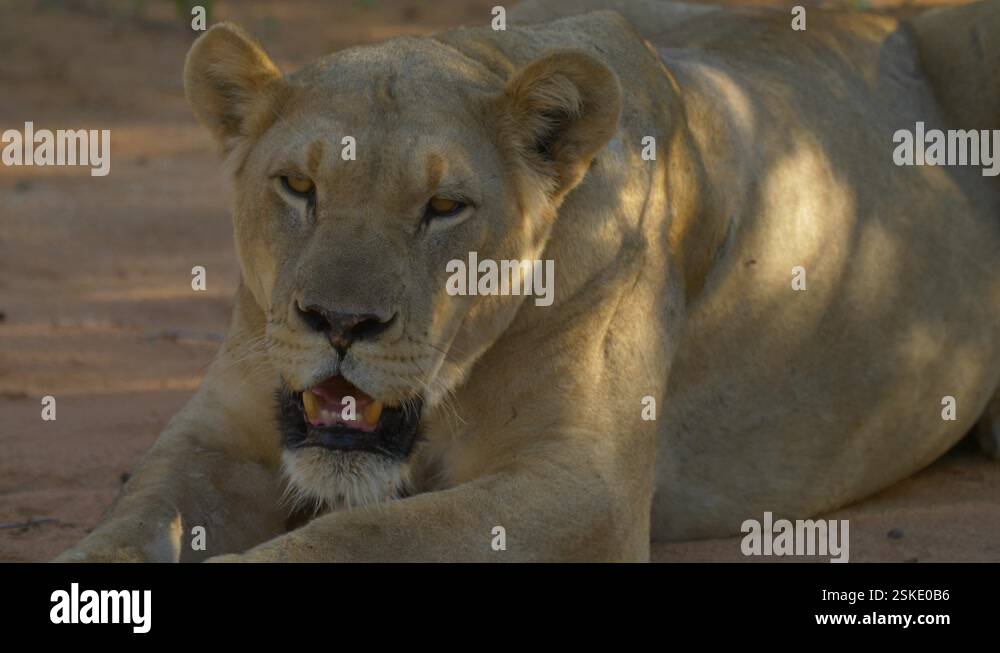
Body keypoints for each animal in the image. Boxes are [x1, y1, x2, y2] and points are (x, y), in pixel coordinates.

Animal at [57, 0, 1000, 562]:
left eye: (444, 206)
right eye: (297, 186)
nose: (339, 321)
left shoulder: (585, 487)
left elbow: (358, 535)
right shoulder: (222, 434)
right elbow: (131, 521)